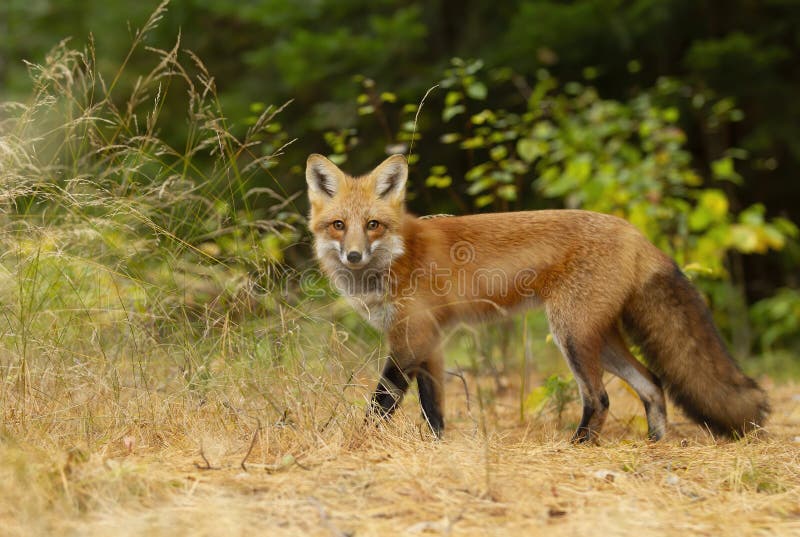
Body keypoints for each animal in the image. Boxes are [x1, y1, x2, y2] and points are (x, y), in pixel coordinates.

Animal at [306, 153, 769, 443]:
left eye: (373, 225)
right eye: (338, 225)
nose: (353, 256)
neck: (399, 255)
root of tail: (635, 232)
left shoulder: (410, 337)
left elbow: (381, 404)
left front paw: (359, 443)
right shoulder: (429, 342)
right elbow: (433, 408)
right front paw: (437, 450)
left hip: (571, 335)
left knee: (599, 398)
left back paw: (577, 447)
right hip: (599, 338)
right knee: (653, 385)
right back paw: (656, 447)